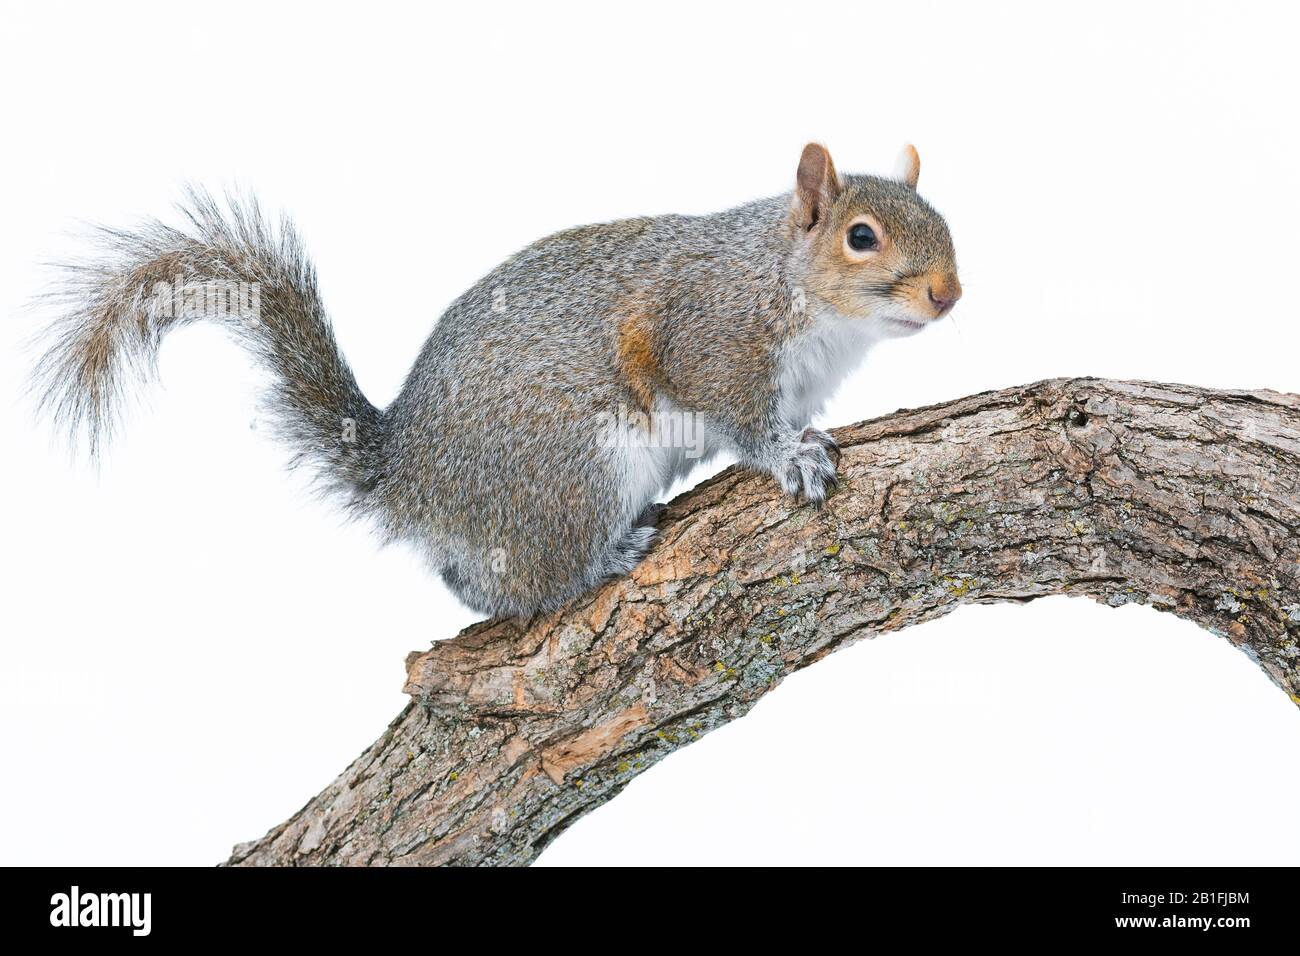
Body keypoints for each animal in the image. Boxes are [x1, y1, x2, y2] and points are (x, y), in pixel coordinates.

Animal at [34, 143, 960, 617]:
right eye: (862, 237)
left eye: (947, 222)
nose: (948, 295)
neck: (790, 284)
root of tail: (407, 479)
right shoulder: (710, 337)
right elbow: (734, 414)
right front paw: (787, 456)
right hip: (571, 474)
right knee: (537, 584)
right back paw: (608, 556)